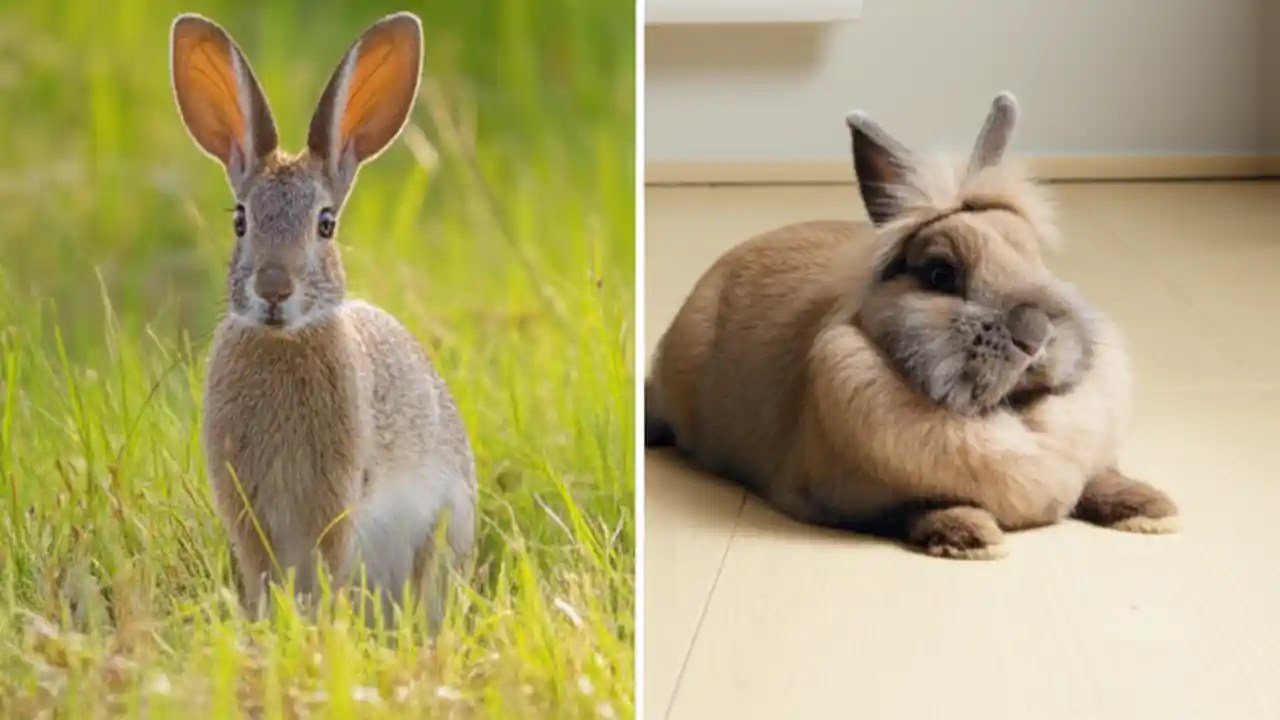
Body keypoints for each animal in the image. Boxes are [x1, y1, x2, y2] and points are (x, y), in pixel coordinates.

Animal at [170, 12, 476, 620]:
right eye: (240, 220)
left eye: (326, 224)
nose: (273, 288)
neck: (284, 339)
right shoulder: (248, 507)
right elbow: (263, 570)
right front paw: (269, 624)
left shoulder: (338, 495)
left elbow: (328, 563)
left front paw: (318, 627)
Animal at [645, 92, 1178, 560]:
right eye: (941, 274)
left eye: (1037, 259)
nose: (1036, 333)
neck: (1011, 414)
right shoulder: (843, 499)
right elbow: (915, 508)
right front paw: (974, 537)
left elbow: (1100, 477)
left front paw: (1153, 509)